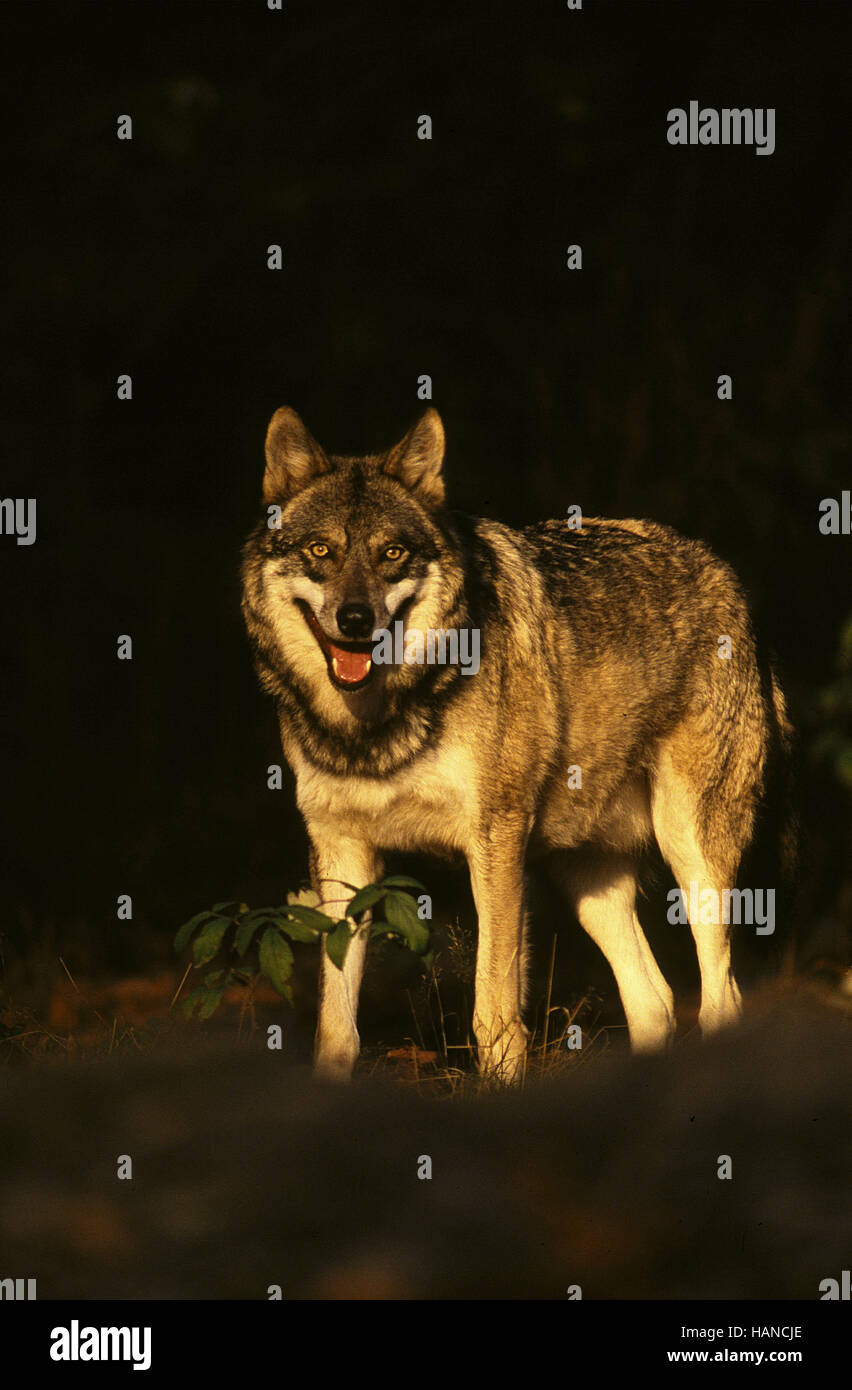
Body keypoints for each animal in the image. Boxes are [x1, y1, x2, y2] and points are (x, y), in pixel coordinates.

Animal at [241, 406, 794, 1081]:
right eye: (321, 549)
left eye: (392, 553)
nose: (354, 619)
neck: (379, 726)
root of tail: (731, 580)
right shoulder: (343, 856)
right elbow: (336, 1027)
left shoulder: (496, 841)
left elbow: (495, 1010)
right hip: (589, 883)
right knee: (656, 1001)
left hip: (692, 853)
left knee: (721, 996)